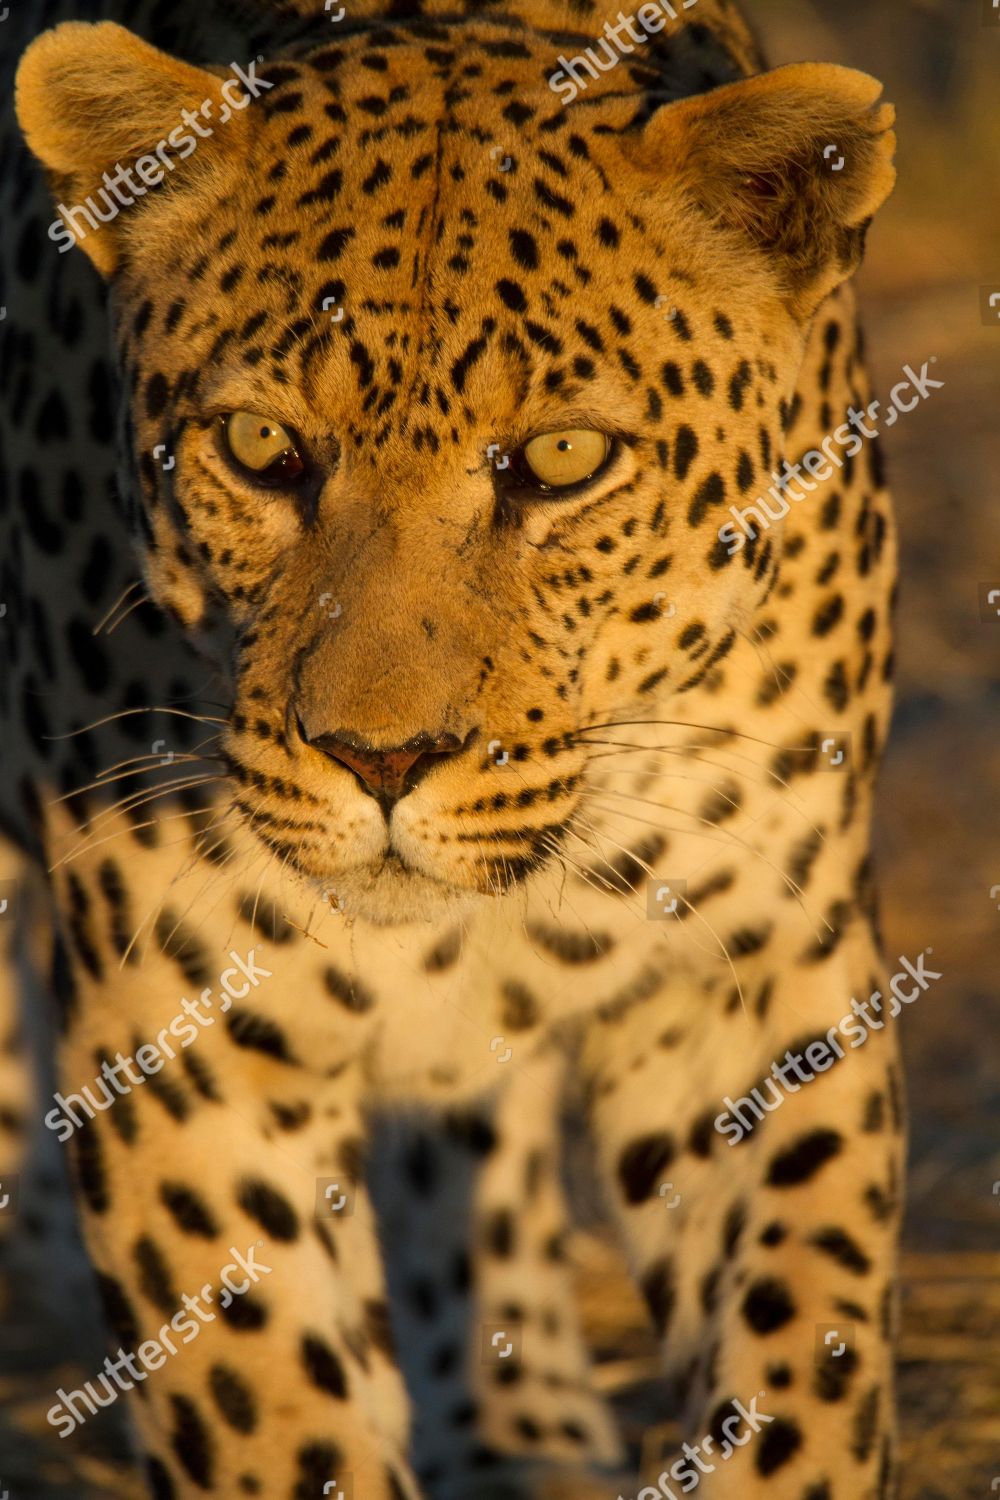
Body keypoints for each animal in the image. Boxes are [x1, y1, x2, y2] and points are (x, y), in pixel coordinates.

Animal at [0, 0, 903, 1495]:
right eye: (261, 445)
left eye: (561, 459)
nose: (380, 759)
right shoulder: (178, 1025)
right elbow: (269, 1406)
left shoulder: (749, 980)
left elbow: (801, 1356)